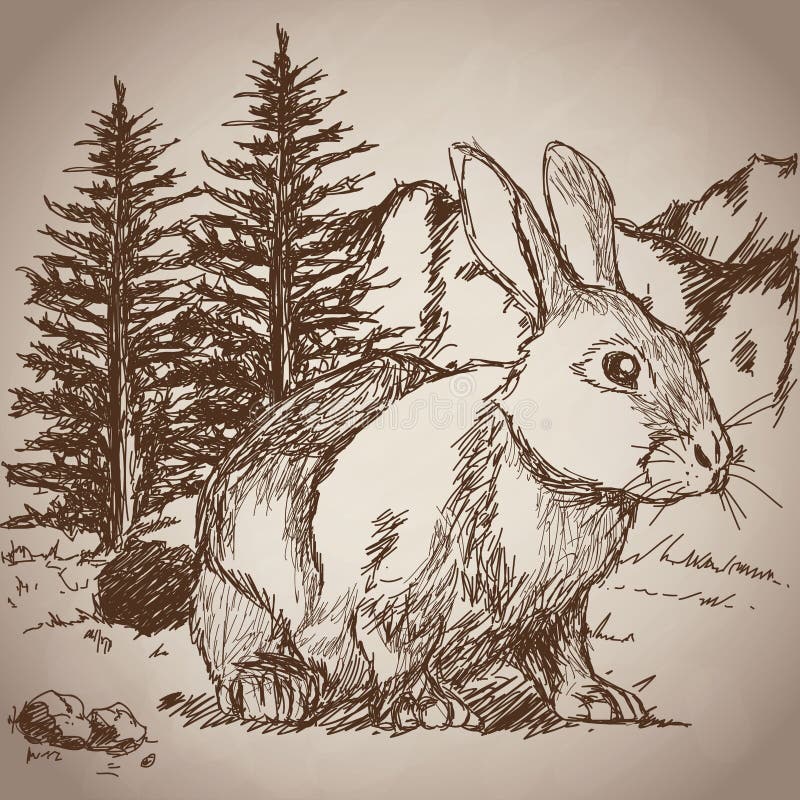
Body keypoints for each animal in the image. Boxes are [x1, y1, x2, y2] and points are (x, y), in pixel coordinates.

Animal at [191, 140, 733, 731]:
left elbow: (566, 654)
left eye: (684, 346)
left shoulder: (557, 609)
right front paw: (428, 707)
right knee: (237, 645)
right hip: (243, 586)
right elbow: (396, 647)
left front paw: (600, 701)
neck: (538, 468)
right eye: (620, 367)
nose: (713, 457)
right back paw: (273, 688)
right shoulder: (394, 581)